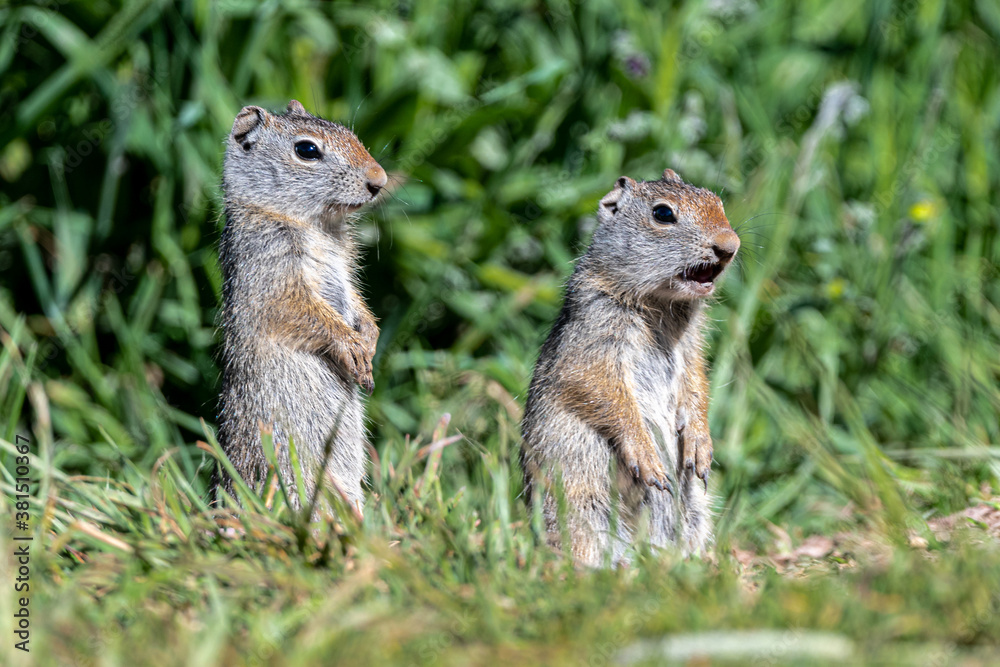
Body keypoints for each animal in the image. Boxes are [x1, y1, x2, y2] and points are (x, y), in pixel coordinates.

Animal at [214, 100, 387, 513]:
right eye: (307, 150)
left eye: (351, 135)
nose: (380, 180)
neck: (317, 224)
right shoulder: (274, 276)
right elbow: (306, 315)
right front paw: (352, 348)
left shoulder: (345, 270)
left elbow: (357, 303)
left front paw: (370, 340)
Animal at [520, 168, 740, 567]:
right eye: (663, 214)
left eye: (716, 200)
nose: (730, 245)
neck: (660, 302)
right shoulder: (595, 341)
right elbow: (606, 395)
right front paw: (648, 459)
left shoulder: (691, 349)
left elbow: (697, 387)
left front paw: (700, 447)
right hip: (583, 510)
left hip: (696, 510)